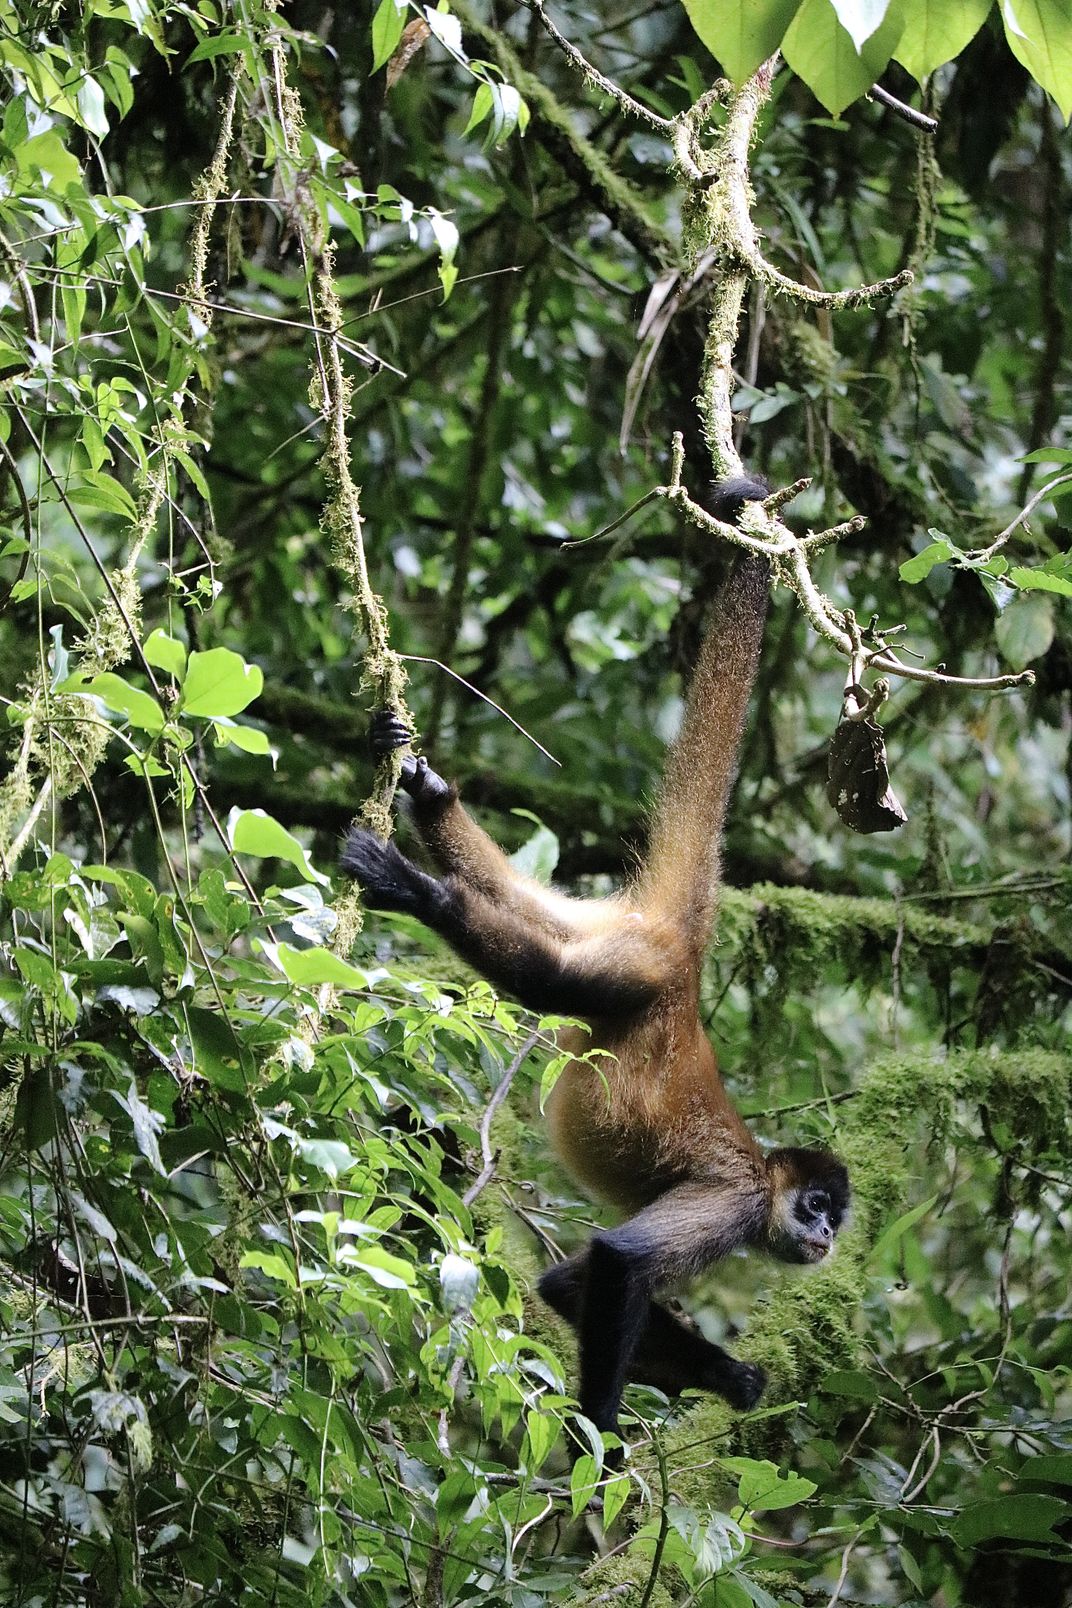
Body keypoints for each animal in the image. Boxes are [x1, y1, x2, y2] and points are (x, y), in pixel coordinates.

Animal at [341, 477, 850, 1440]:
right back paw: (417, 891)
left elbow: (564, 1284)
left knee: (515, 904)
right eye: (814, 1207)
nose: (827, 1238)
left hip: (591, 924)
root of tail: (681, 952)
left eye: (836, 1218)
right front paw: (599, 1436)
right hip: (628, 972)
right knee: (541, 979)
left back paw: (429, 795)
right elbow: (616, 1260)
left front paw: (733, 1380)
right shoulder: (734, 1201)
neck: (764, 1175)